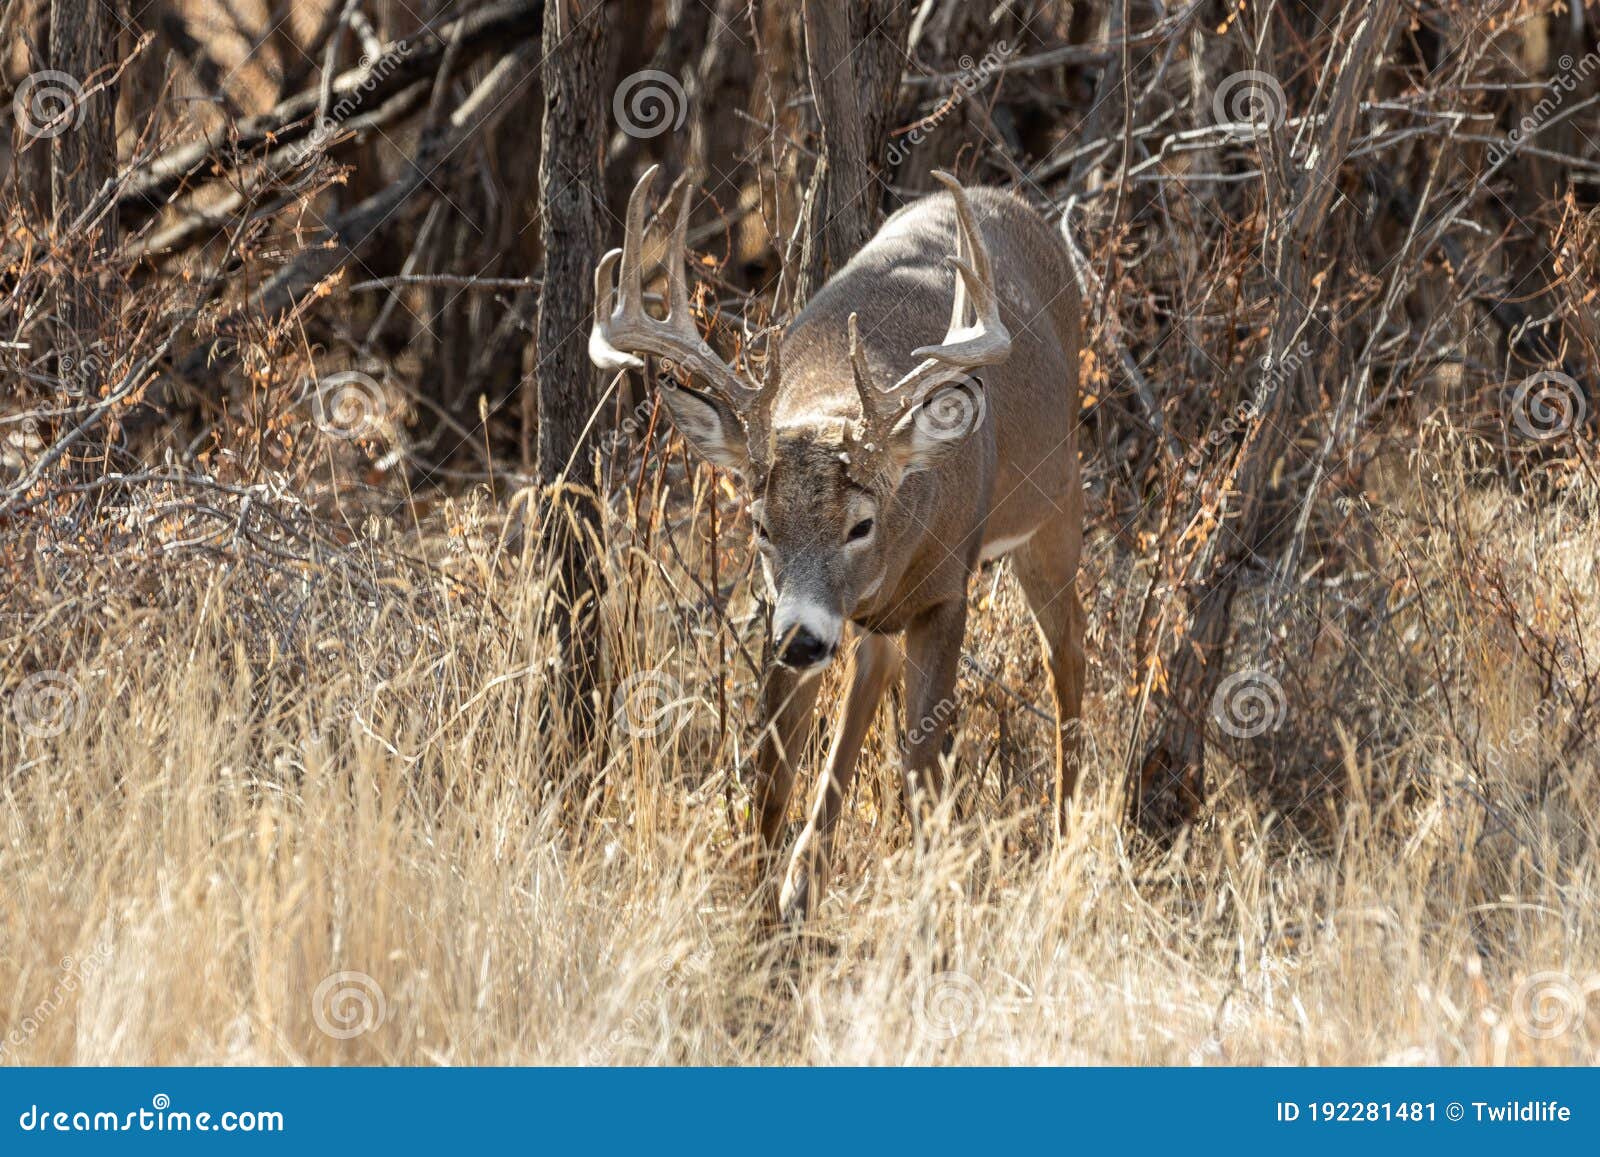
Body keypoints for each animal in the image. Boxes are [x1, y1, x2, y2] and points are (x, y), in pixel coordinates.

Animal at [590, 165, 1084, 924]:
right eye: (761, 525)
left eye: (860, 523)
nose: (802, 639)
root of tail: (1013, 203)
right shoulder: (782, 611)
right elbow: (772, 774)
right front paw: (761, 915)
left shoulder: (946, 591)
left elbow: (922, 772)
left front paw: (925, 916)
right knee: (872, 666)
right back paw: (804, 879)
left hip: (1056, 504)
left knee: (1069, 656)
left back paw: (1067, 846)